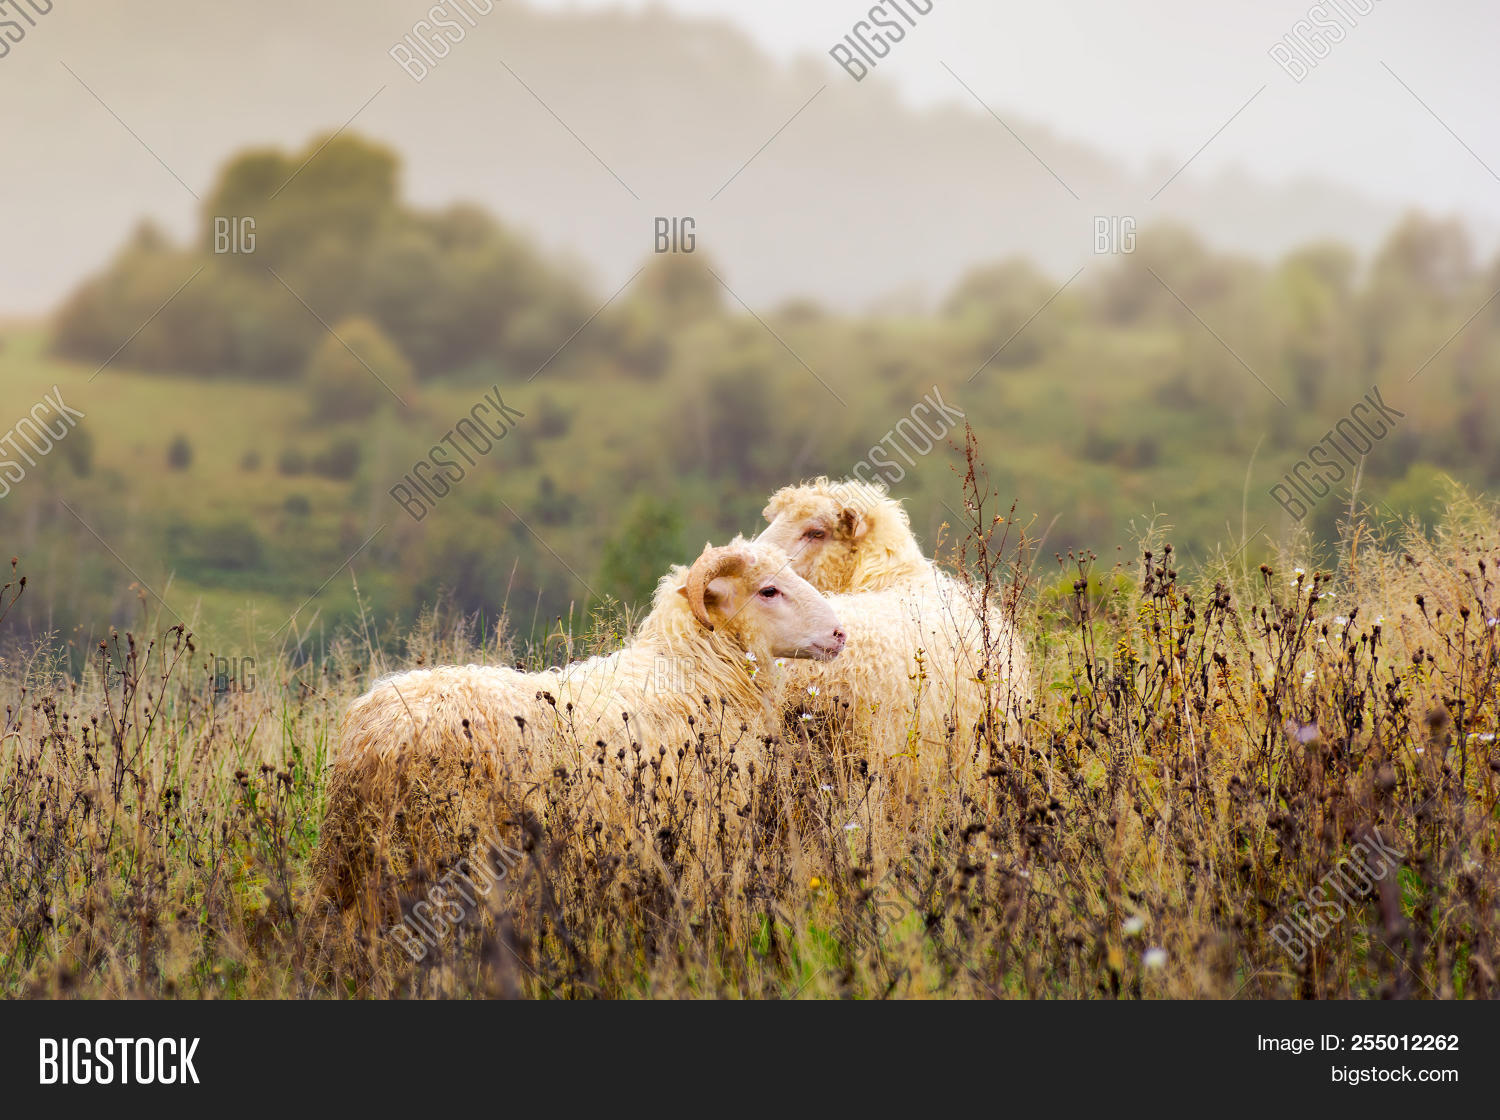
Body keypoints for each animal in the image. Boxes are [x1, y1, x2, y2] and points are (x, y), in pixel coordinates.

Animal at [311, 538, 846, 924]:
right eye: (768, 591)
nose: (840, 634)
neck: (694, 672)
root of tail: (373, 731)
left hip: (355, 864)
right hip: (445, 849)